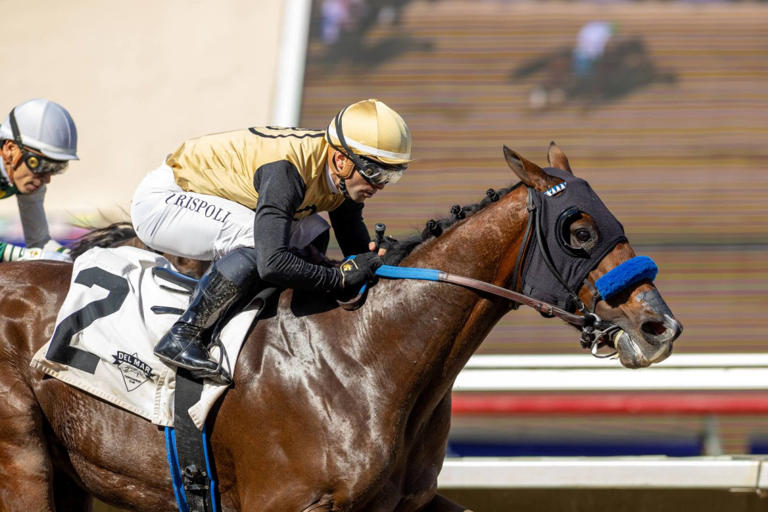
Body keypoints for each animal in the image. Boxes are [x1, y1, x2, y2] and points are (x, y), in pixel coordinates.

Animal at [0, 144, 681, 511]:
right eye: (579, 231)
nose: (659, 326)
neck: (368, 356)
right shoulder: (283, 501)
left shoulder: (406, 503)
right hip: (24, 463)